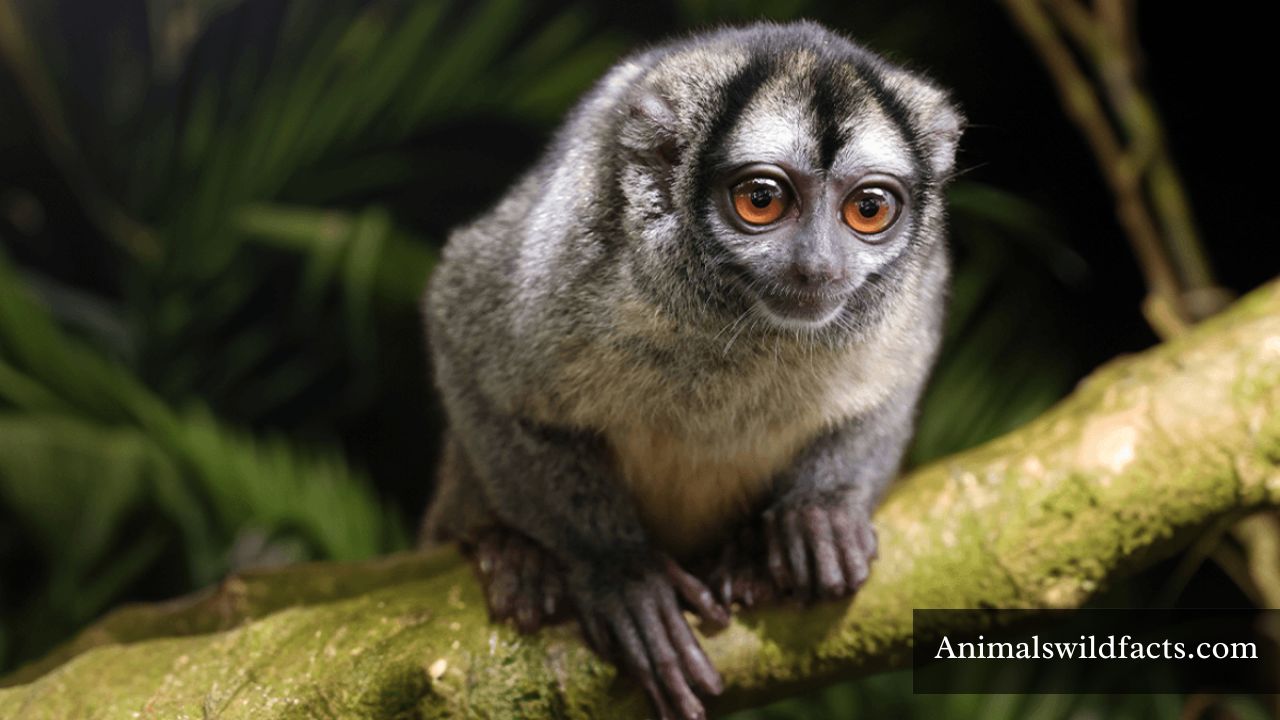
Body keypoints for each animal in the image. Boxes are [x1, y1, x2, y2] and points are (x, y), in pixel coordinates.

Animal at [420, 20, 962, 720]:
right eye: (761, 199)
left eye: (868, 209)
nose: (818, 267)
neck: (747, 326)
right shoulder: (561, 256)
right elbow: (468, 346)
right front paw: (621, 573)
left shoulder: (918, 286)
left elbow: (895, 386)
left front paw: (820, 513)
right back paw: (513, 558)